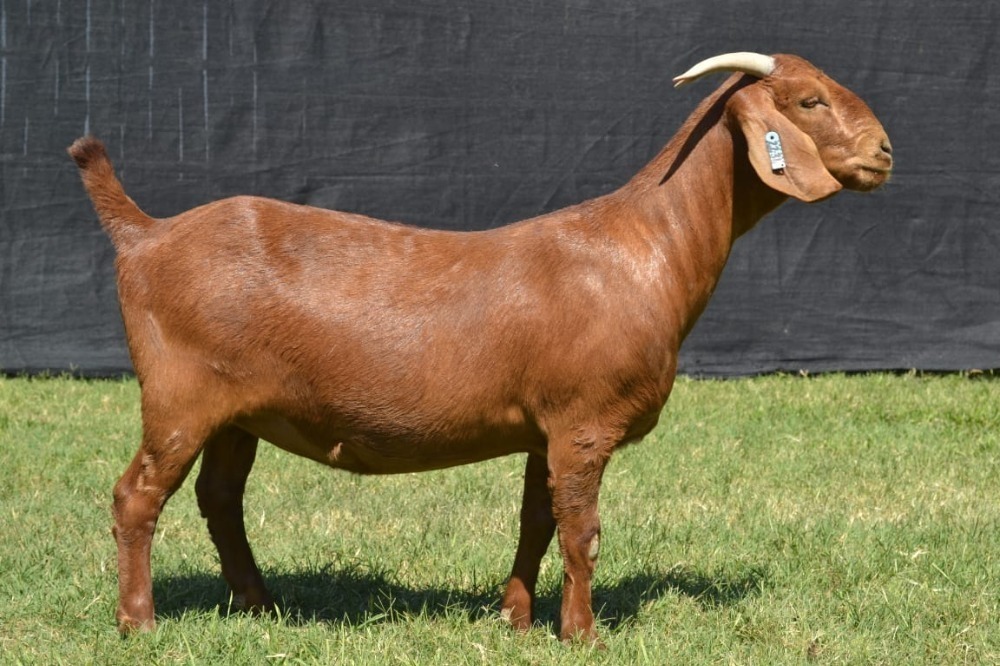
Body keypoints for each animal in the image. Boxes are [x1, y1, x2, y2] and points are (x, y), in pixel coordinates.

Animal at [69, 52, 892, 643]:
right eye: (809, 101)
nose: (884, 152)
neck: (645, 246)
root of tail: (144, 234)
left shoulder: (546, 428)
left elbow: (538, 522)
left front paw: (517, 618)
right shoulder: (585, 424)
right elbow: (583, 533)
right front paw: (583, 635)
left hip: (236, 410)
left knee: (219, 498)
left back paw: (260, 607)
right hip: (180, 396)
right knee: (137, 496)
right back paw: (139, 622)